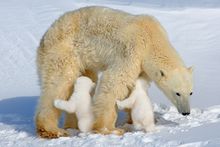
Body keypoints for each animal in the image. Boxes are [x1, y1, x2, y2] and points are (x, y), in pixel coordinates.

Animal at [35, 5, 192, 138]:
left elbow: (133, 87)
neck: (151, 37)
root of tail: (45, 37)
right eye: (177, 93)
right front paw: (109, 129)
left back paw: (72, 126)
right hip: (63, 52)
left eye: (191, 93)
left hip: (83, 61)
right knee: (58, 84)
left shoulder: (142, 65)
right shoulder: (131, 51)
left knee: (86, 80)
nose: (186, 112)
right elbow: (114, 81)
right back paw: (52, 130)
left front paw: (136, 120)